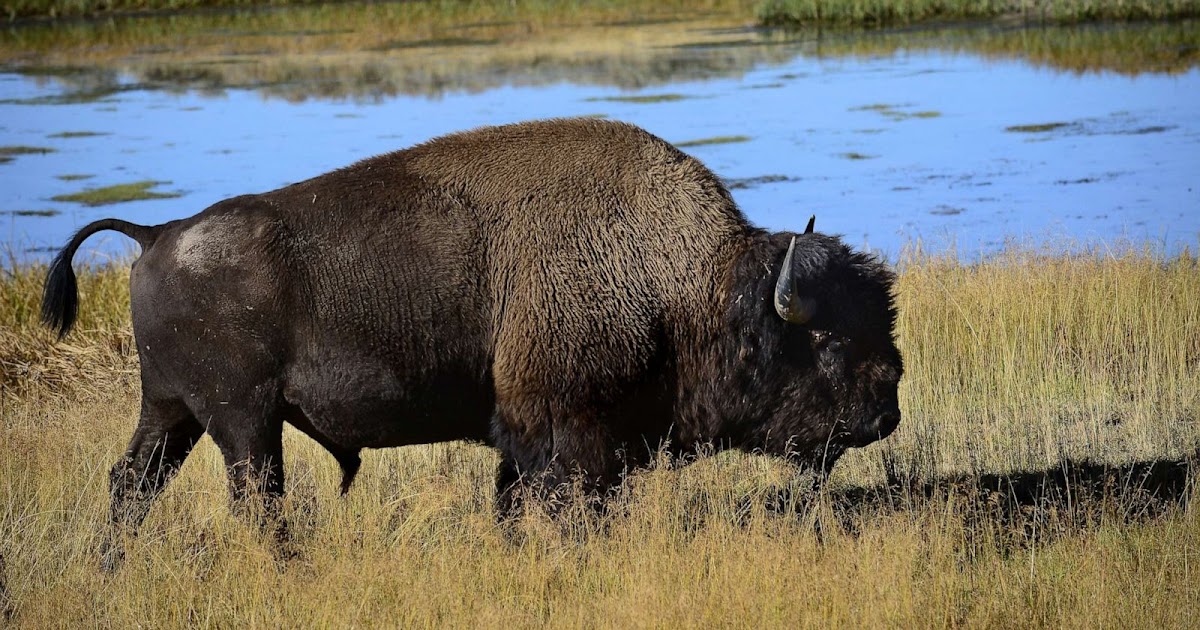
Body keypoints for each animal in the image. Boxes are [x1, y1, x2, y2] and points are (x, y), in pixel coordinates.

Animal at [42, 118, 902, 565]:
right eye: (827, 339)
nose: (886, 410)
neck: (688, 284)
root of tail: (157, 233)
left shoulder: (525, 439)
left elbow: (513, 501)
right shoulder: (569, 435)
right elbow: (570, 503)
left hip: (172, 413)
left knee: (132, 484)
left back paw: (114, 564)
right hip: (241, 420)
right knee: (257, 498)